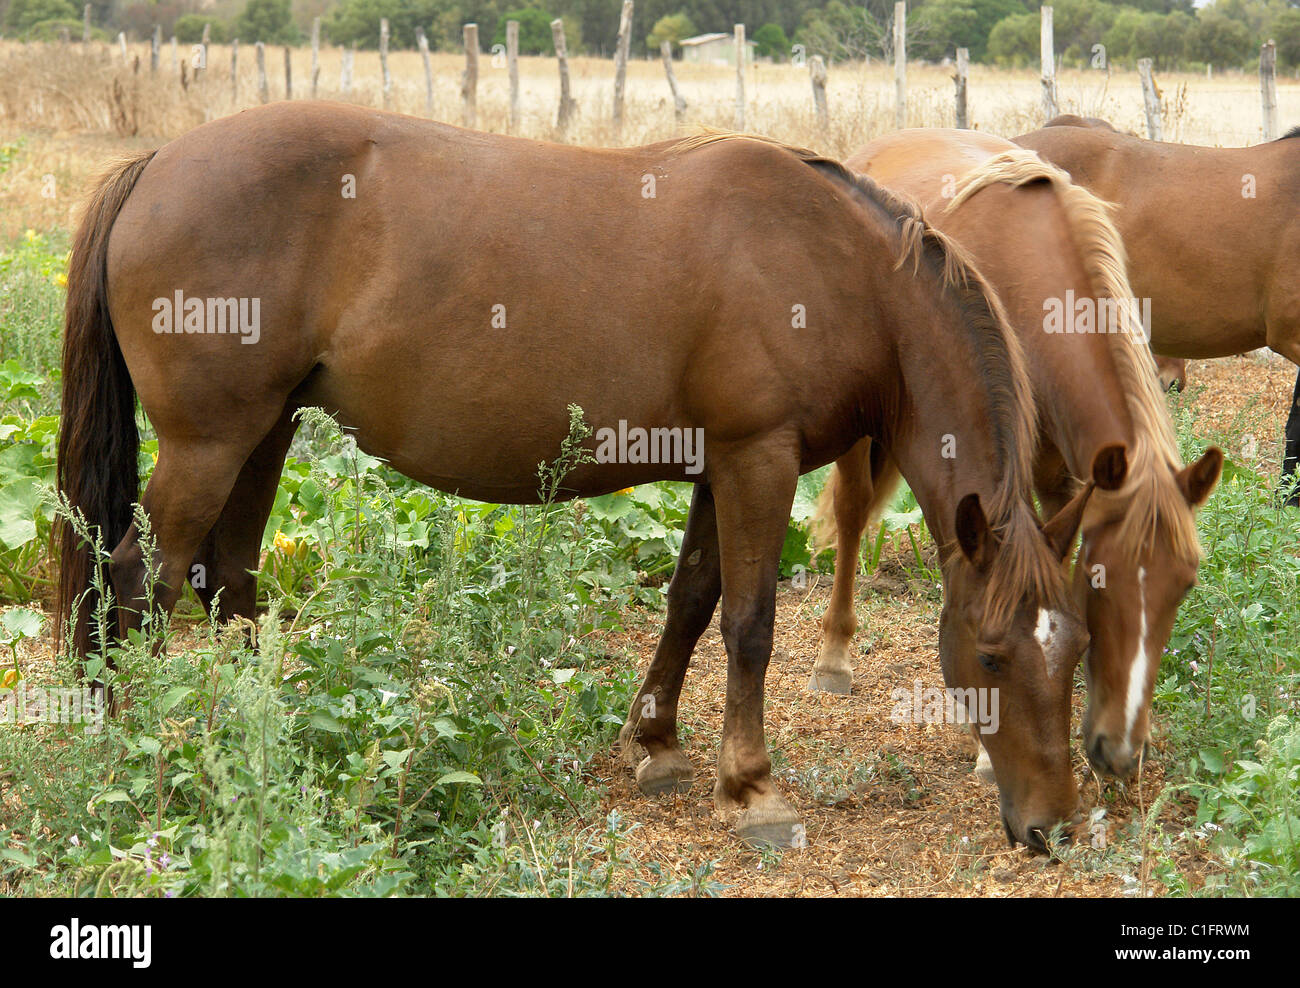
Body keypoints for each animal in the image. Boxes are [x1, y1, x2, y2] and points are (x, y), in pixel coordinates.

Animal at [55, 102, 1093, 850]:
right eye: (990, 656)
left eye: (1076, 650)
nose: (1052, 828)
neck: (838, 267)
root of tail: (158, 163)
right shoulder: (758, 459)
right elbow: (751, 624)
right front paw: (752, 788)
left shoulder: (720, 464)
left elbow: (693, 598)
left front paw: (661, 745)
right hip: (208, 444)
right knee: (138, 583)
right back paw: (130, 758)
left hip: (263, 433)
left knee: (222, 580)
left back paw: (266, 734)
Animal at [806, 130, 1221, 783]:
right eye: (1100, 581)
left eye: (1183, 585)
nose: (1121, 751)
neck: (1039, 282)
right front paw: (989, 743)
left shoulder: (1064, 481)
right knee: (851, 515)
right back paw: (834, 658)